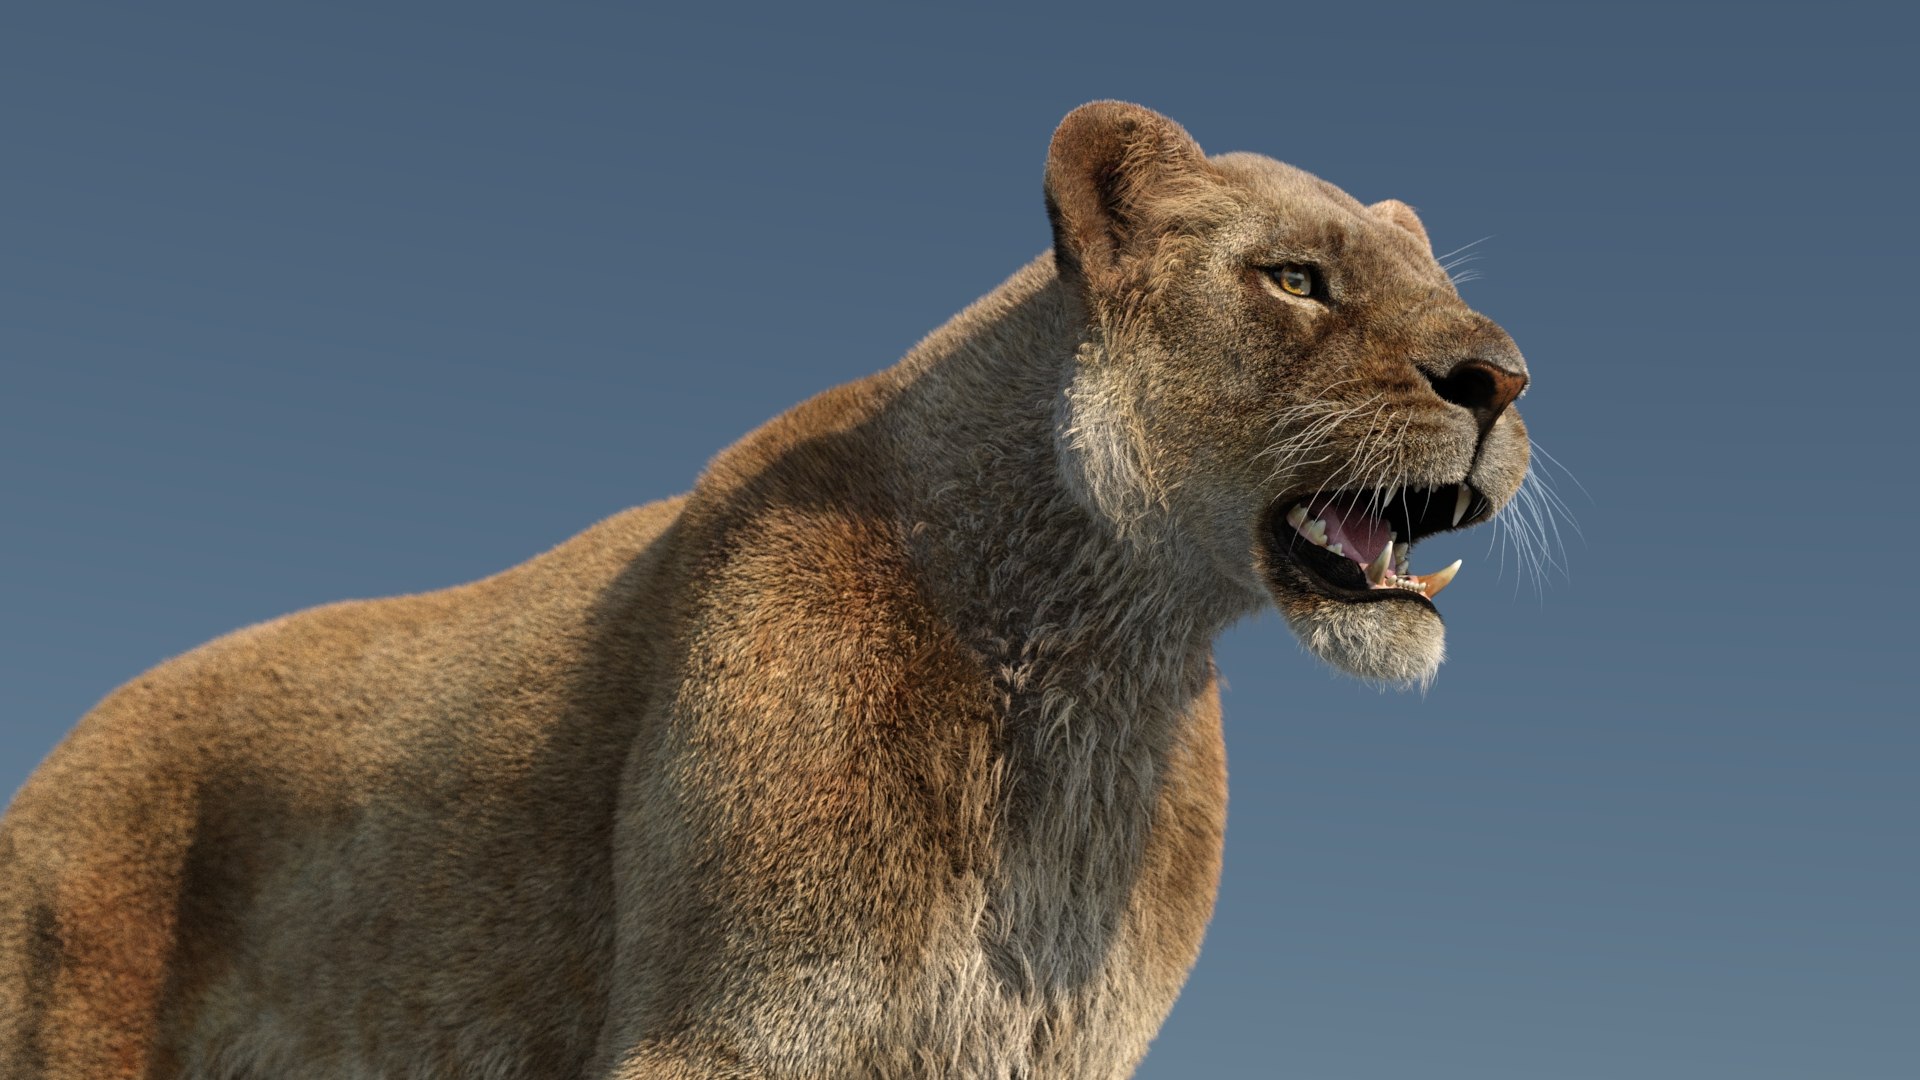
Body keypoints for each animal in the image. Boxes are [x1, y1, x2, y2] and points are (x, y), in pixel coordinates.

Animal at [0, 102, 1529, 1078]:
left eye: (1431, 282)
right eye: (1298, 280)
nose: (1503, 379)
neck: (1095, 661)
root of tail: (72, 745)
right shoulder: (732, 1030)